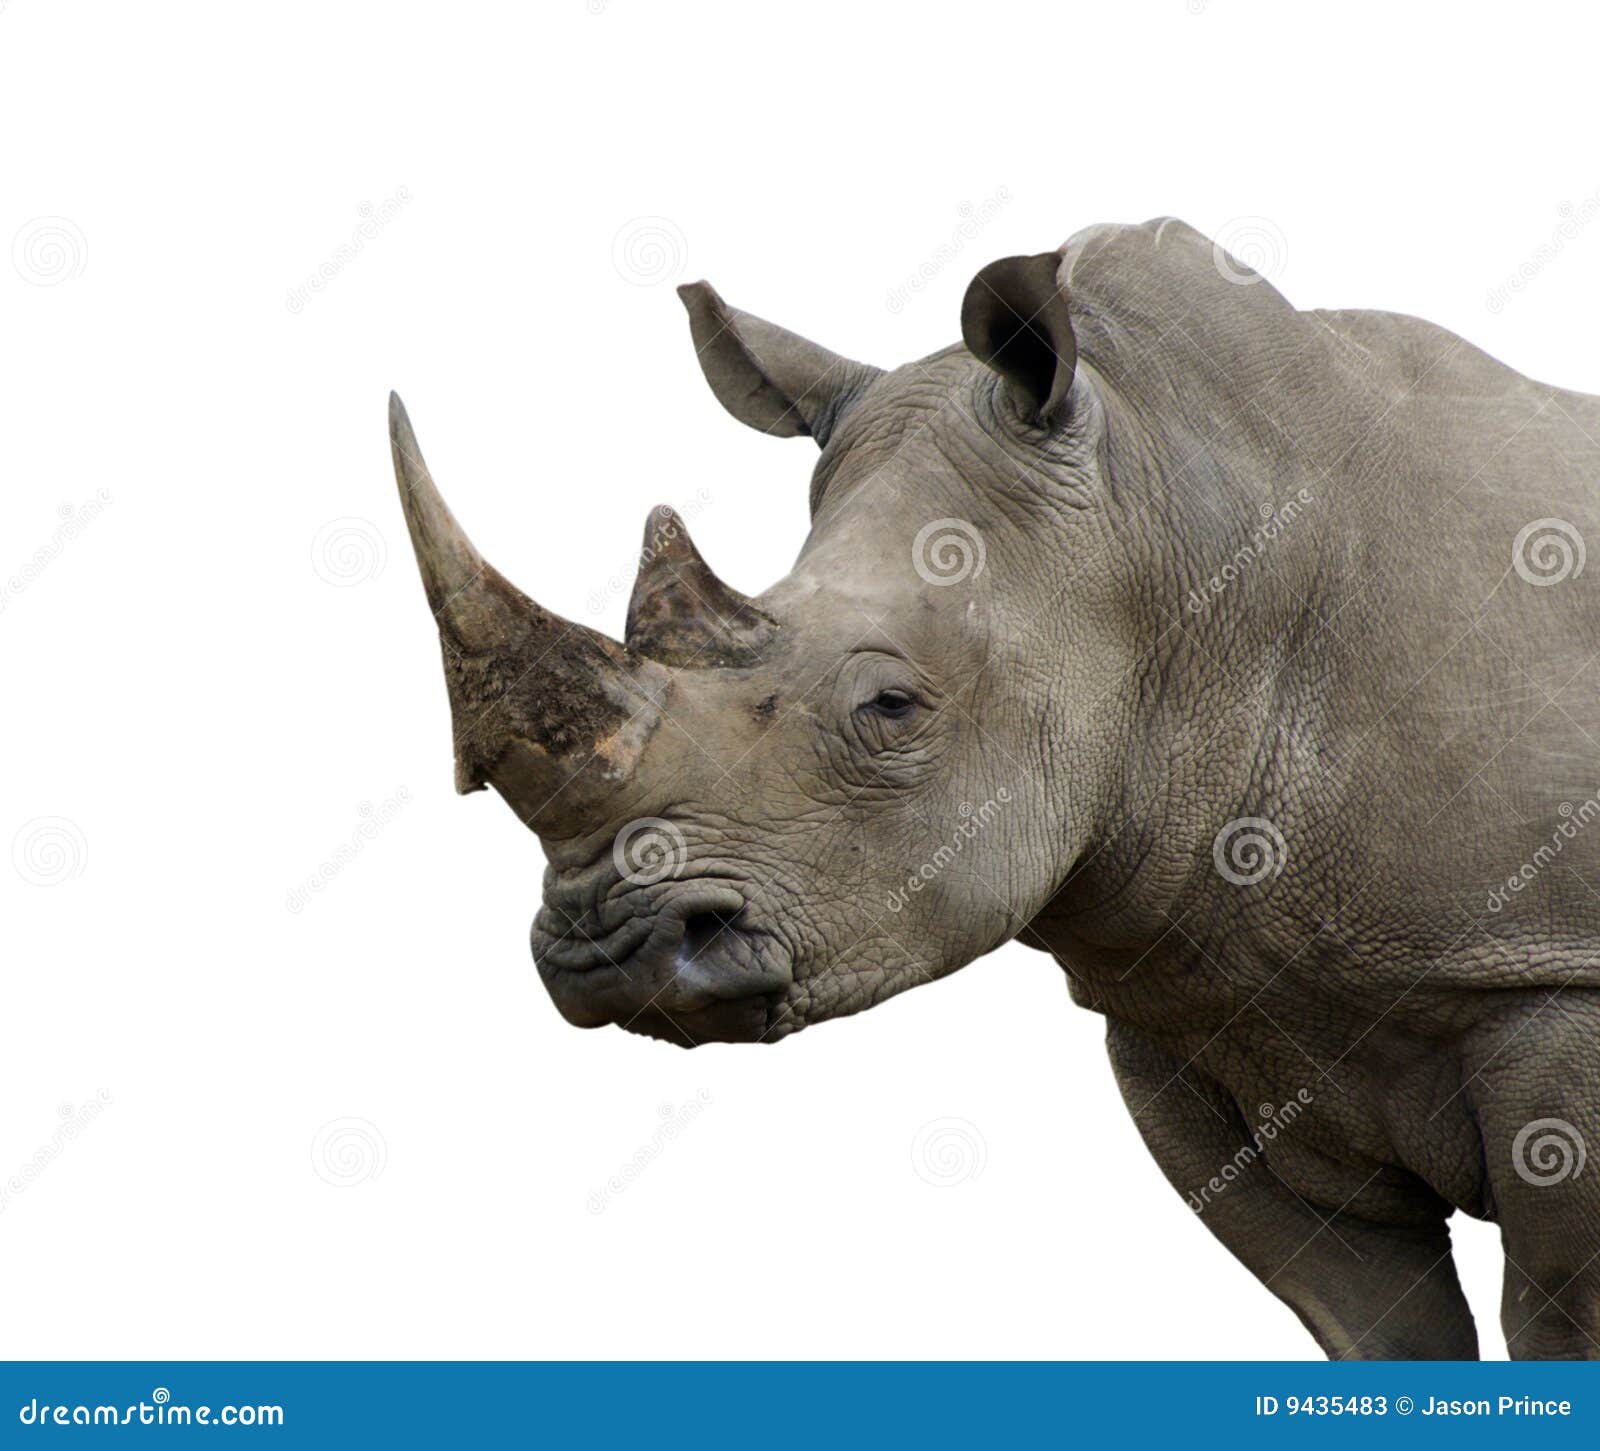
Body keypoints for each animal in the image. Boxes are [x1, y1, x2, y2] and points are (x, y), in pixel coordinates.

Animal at [389, 218, 1600, 1360]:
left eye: (890, 706)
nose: (606, 948)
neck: (1173, 516)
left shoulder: (1549, 974)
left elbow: (1557, 1318)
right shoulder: (1194, 1003)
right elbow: (1378, 1325)